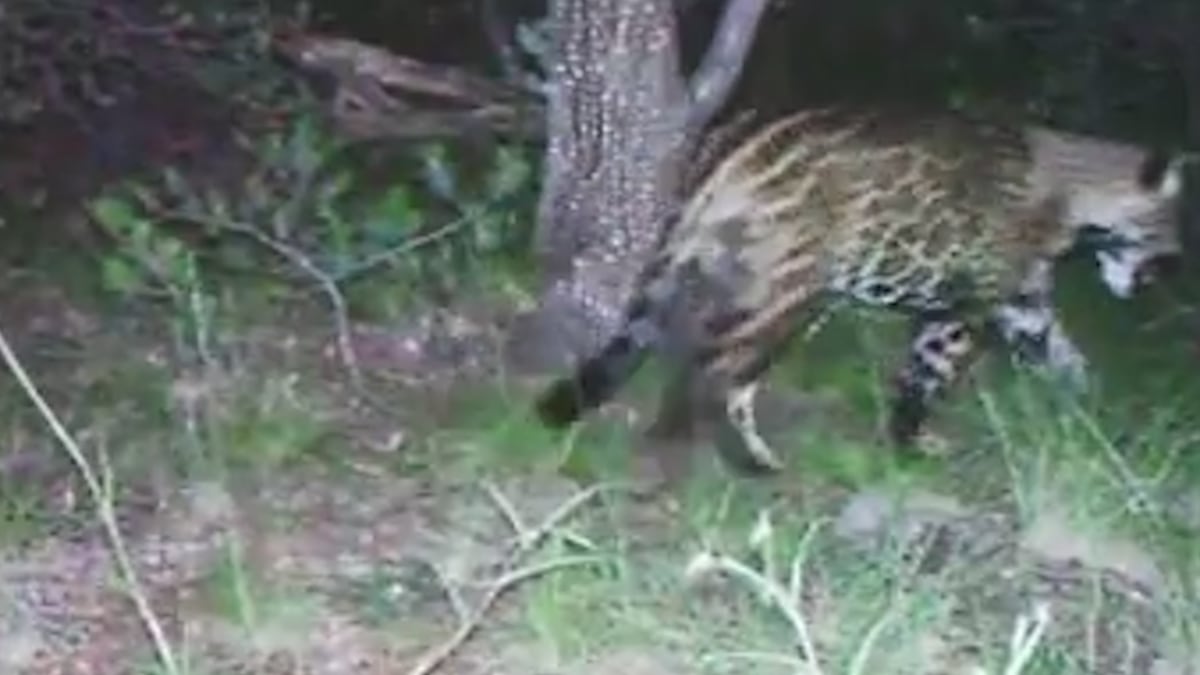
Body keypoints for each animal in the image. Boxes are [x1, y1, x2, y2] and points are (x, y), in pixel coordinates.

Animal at [532, 105, 1190, 475]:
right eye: (1169, 231)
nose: (1169, 274)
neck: (1073, 197)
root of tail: (731, 150)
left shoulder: (1023, 304)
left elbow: (1064, 352)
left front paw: (1096, 412)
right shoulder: (964, 307)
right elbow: (927, 372)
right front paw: (908, 440)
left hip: (720, 270)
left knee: (683, 348)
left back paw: (669, 430)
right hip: (790, 293)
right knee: (721, 372)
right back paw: (747, 459)